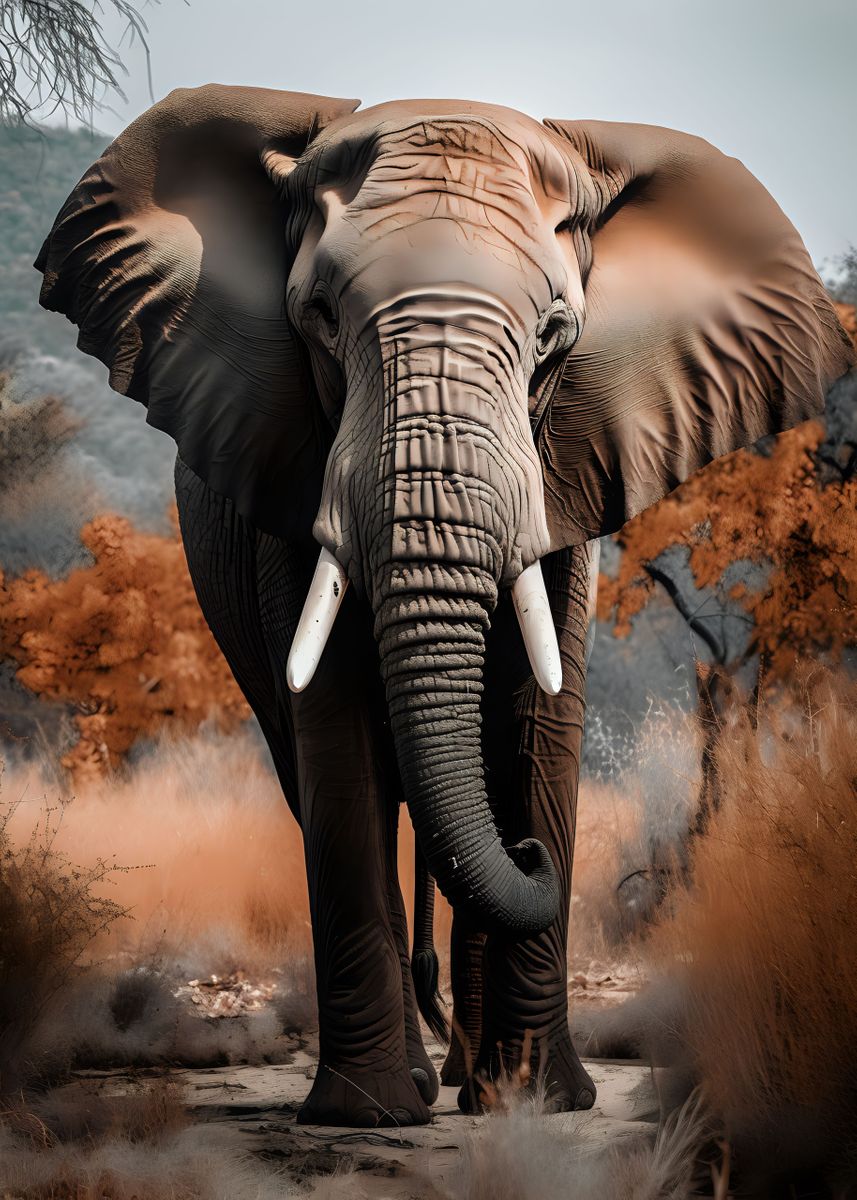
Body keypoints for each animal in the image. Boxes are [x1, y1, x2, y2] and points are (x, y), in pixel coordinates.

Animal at [35, 86, 853, 1128]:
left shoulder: (568, 460)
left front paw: (539, 1104)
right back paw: (425, 1083)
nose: (534, 857)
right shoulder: (284, 459)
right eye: (318, 320)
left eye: (552, 338)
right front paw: (366, 1114)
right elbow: (334, 734)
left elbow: (539, 720)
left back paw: (472, 1078)